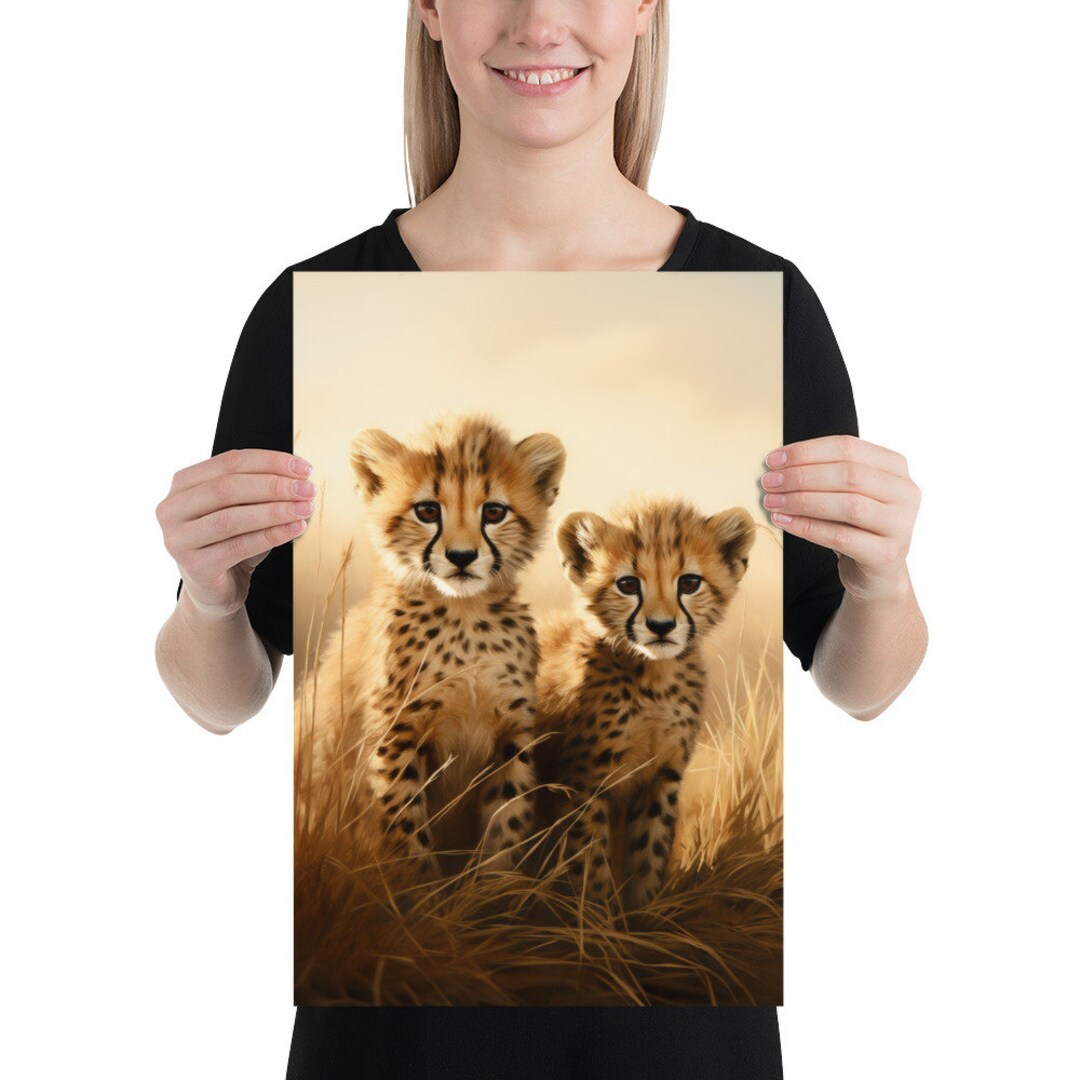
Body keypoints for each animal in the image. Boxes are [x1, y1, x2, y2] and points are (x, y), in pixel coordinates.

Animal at [294, 412, 566, 881]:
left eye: (494, 512)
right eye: (426, 511)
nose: (461, 556)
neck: (466, 615)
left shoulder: (512, 739)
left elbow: (507, 822)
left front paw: (494, 890)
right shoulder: (396, 739)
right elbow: (406, 829)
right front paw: (419, 894)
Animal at [532, 494, 756, 909]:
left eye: (689, 582)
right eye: (627, 585)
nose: (661, 626)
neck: (655, 678)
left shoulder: (662, 778)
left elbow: (649, 858)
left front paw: (643, 918)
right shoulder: (584, 784)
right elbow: (592, 866)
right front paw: (599, 922)